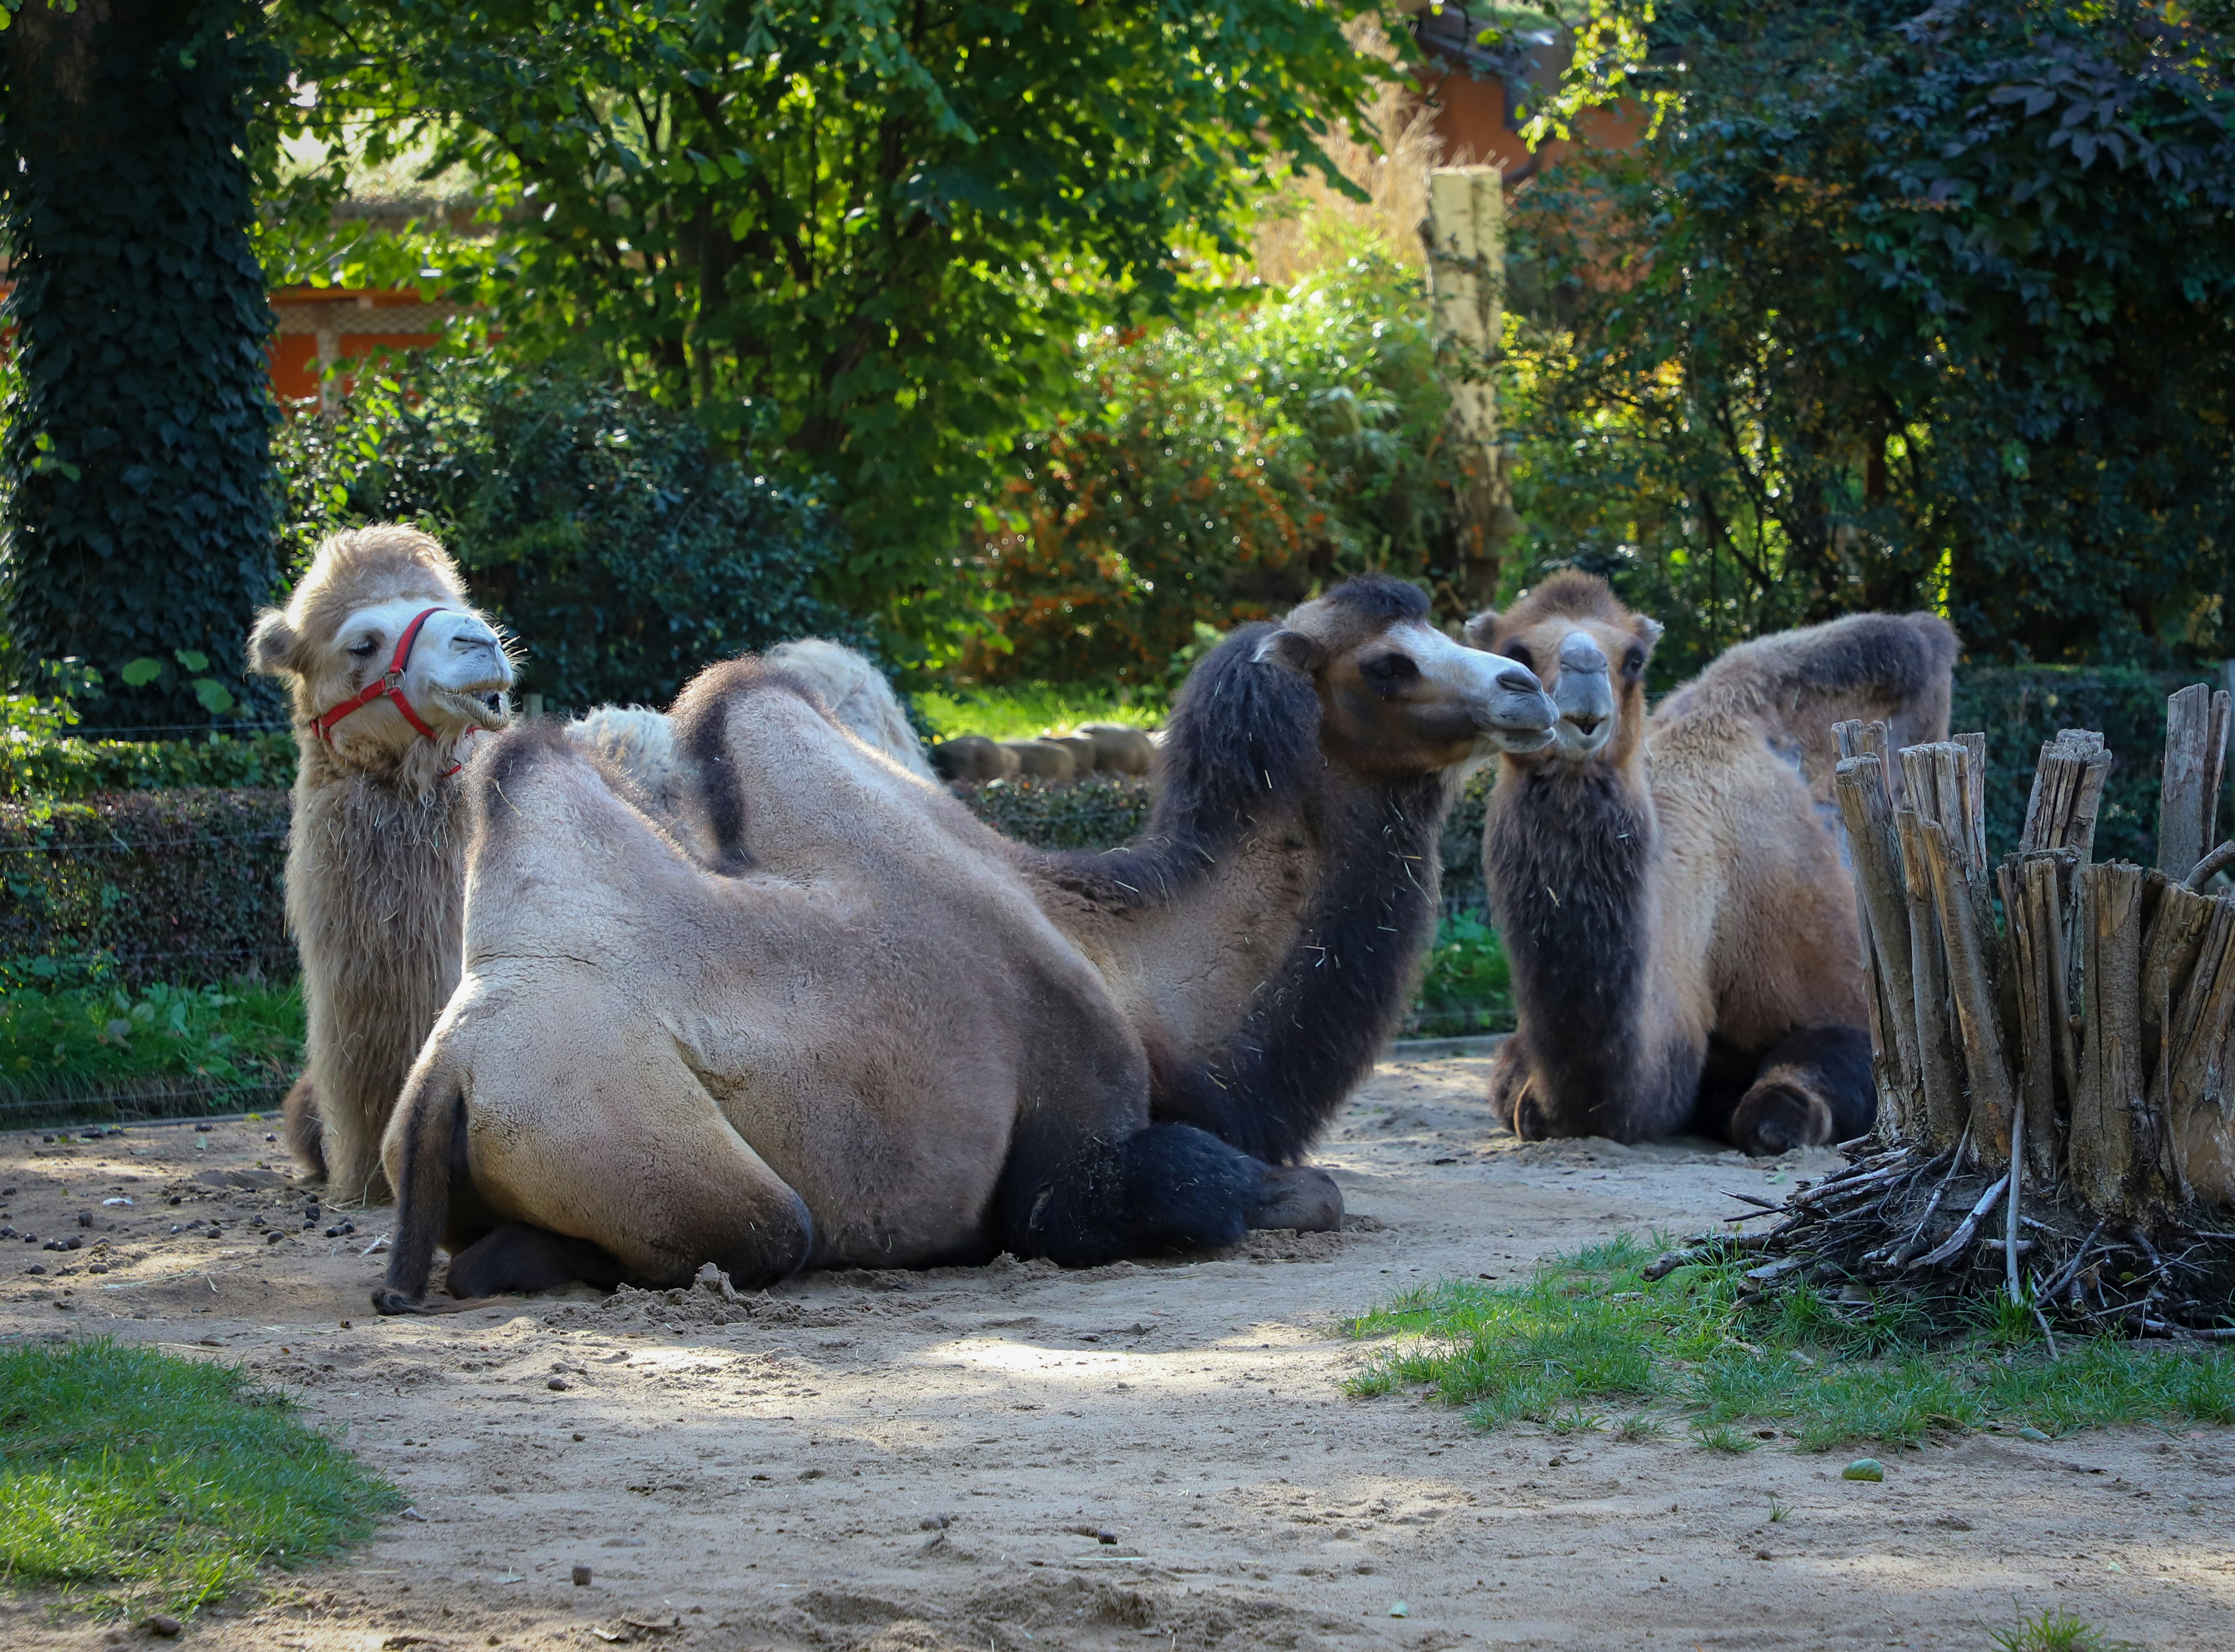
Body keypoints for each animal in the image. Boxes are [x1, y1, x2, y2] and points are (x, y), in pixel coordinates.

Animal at [1464, 571, 1959, 1153]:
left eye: (1634, 659)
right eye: (1514, 652)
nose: (1583, 676)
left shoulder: (1844, 1002)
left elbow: (1780, 1110)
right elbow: (1520, 1101)